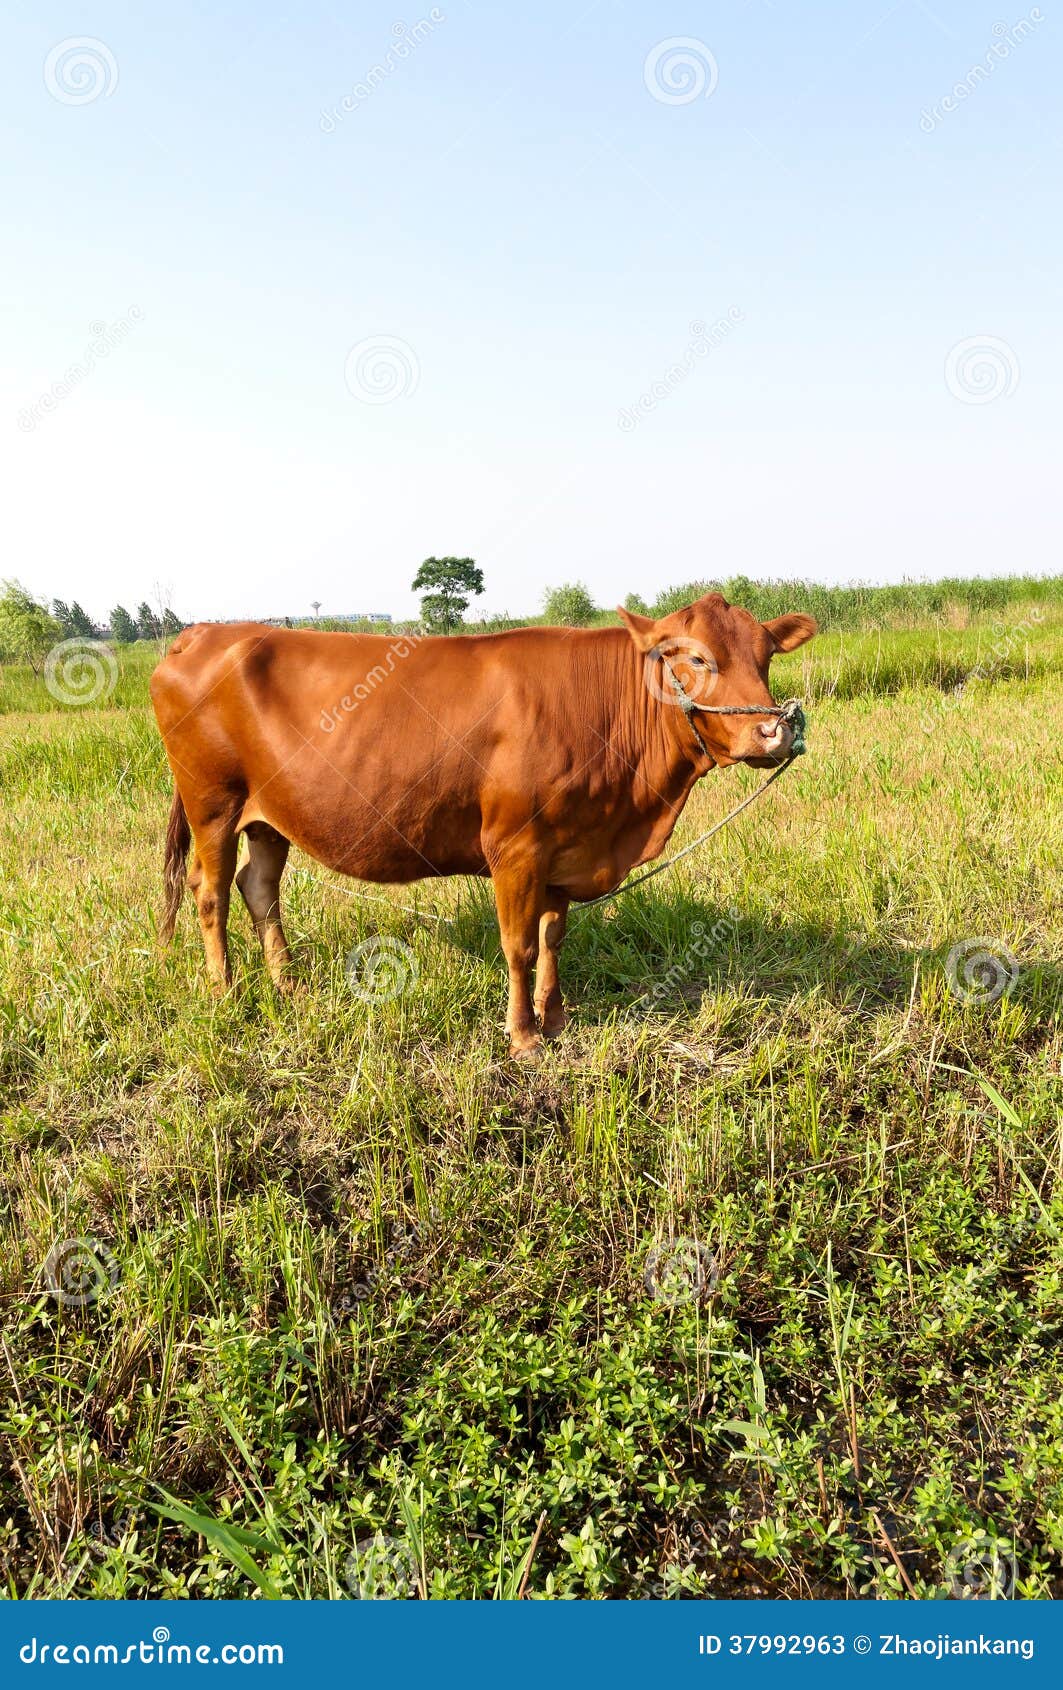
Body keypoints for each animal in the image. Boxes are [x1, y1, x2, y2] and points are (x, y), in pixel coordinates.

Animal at [149, 594, 816, 1058]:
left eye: (765, 657)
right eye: (698, 658)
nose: (773, 732)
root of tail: (205, 632)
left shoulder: (565, 848)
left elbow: (552, 938)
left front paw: (556, 1019)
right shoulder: (515, 848)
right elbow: (518, 944)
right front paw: (523, 1037)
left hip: (271, 817)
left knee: (259, 889)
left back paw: (289, 987)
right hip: (213, 802)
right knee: (211, 894)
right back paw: (225, 992)